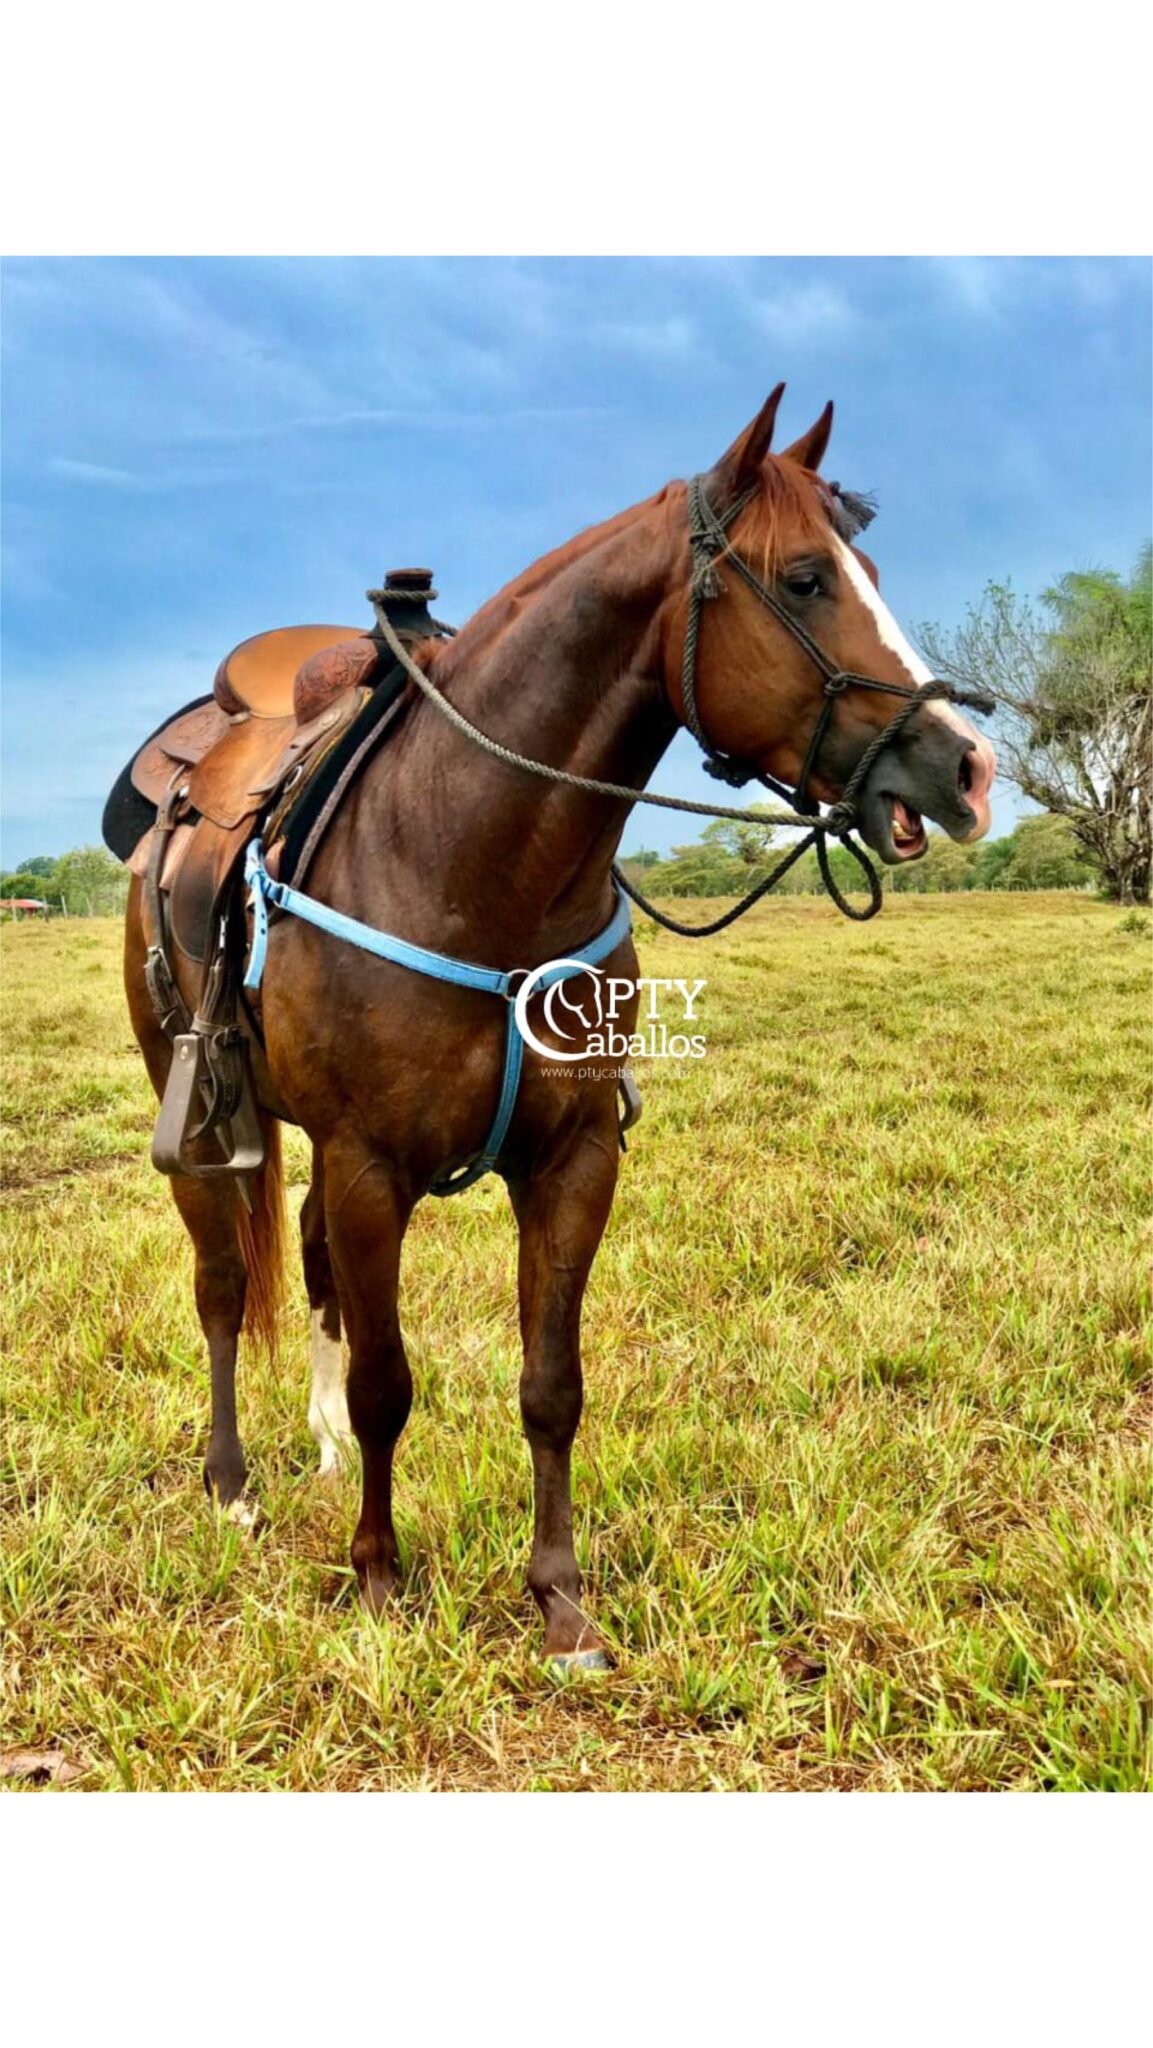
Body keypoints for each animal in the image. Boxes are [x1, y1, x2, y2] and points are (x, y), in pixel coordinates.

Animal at [120, 386, 996, 1664]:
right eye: (802, 579)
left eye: (864, 568)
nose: (968, 768)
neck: (467, 855)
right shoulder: (371, 1165)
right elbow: (389, 1380)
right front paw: (378, 1577)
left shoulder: (572, 1159)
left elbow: (551, 1382)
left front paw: (558, 1596)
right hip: (200, 1116)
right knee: (226, 1283)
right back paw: (232, 1483)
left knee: (311, 1263)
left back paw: (319, 1449)